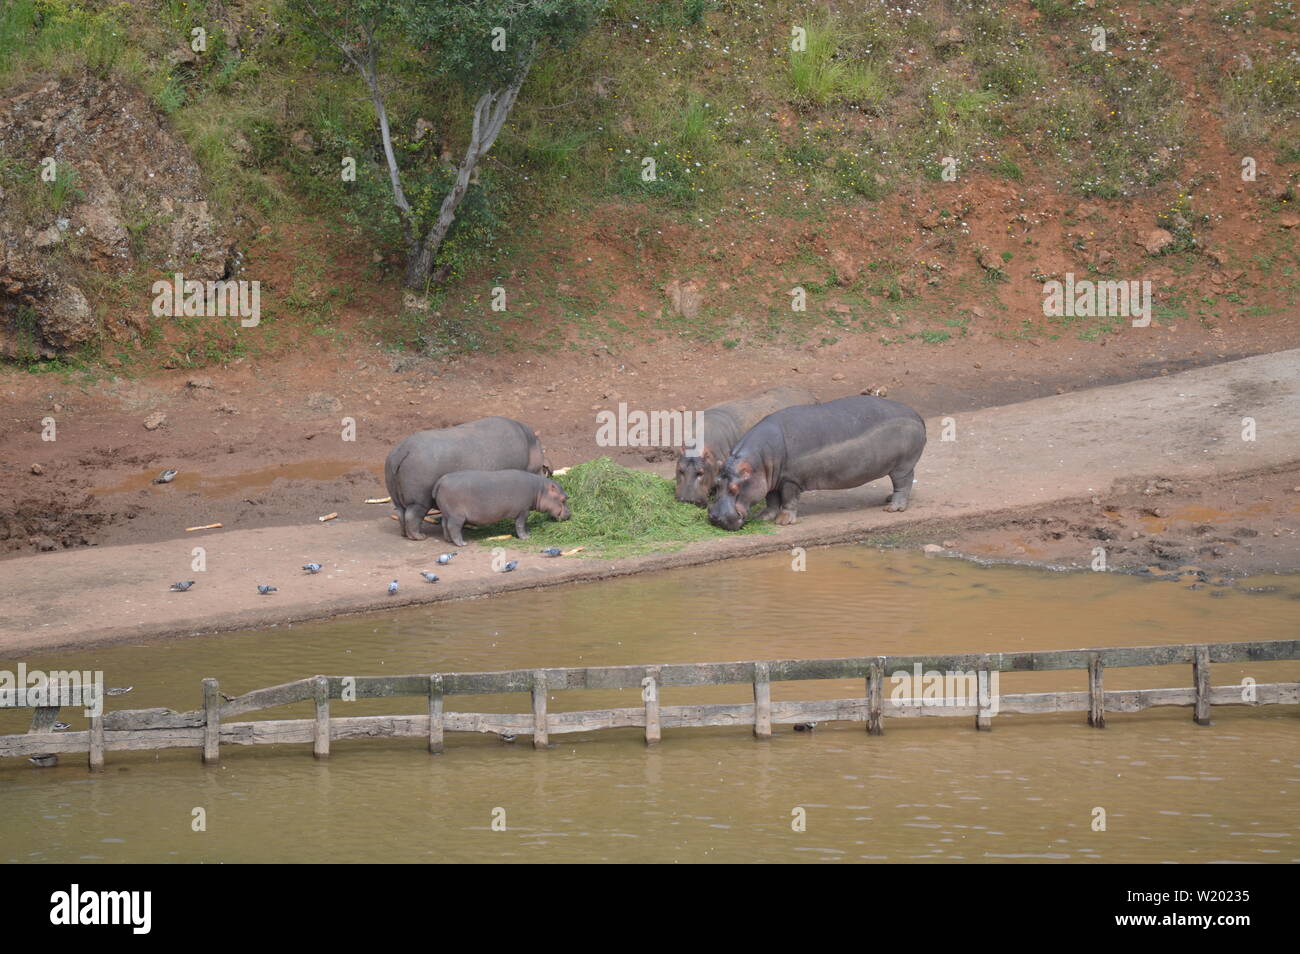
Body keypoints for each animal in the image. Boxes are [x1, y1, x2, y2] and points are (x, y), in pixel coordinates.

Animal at [385, 417, 548, 541]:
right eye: (543, 450)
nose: (548, 468)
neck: (530, 443)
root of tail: (402, 451)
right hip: (419, 501)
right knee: (412, 517)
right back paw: (420, 537)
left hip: (398, 498)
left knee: (401, 514)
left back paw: (405, 534)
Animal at [432, 470, 571, 547]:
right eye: (564, 498)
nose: (569, 515)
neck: (539, 490)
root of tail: (441, 481)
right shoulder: (523, 511)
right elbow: (520, 525)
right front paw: (526, 537)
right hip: (457, 516)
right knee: (453, 527)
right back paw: (462, 544)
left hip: (447, 512)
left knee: (444, 524)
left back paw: (448, 540)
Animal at [707, 395, 926, 530]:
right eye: (716, 484)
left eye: (735, 488)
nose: (715, 518)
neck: (757, 464)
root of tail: (917, 415)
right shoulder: (769, 479)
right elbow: (771, 499)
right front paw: (764, 517)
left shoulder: (790, 480)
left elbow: (788, 500)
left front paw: (783, 522)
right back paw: (887, 499)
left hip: (902, 466)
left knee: (903, 484)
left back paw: (893, 508)